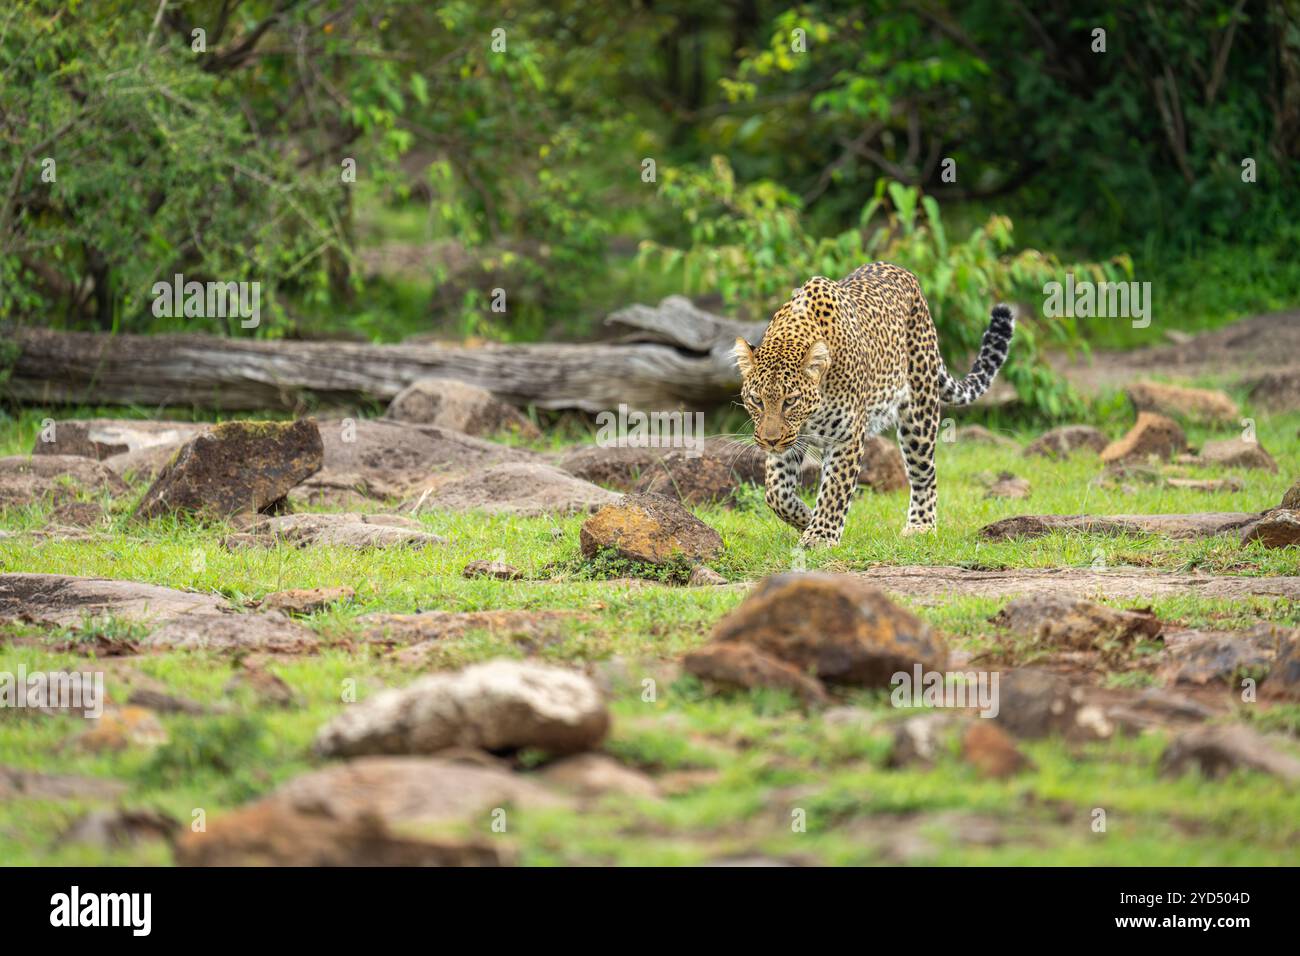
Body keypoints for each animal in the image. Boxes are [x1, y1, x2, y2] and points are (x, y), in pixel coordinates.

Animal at [734, 261, 1014, 548]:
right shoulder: (790, 440)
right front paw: (806, 519)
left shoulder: (846, 437)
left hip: (920, 413)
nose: (770, 441)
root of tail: (904, 272)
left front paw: (820, 536)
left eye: (790, 401)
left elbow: (834, 490)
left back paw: (921, 526)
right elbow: (776, 493)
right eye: (756, 400)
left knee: (924, 473)